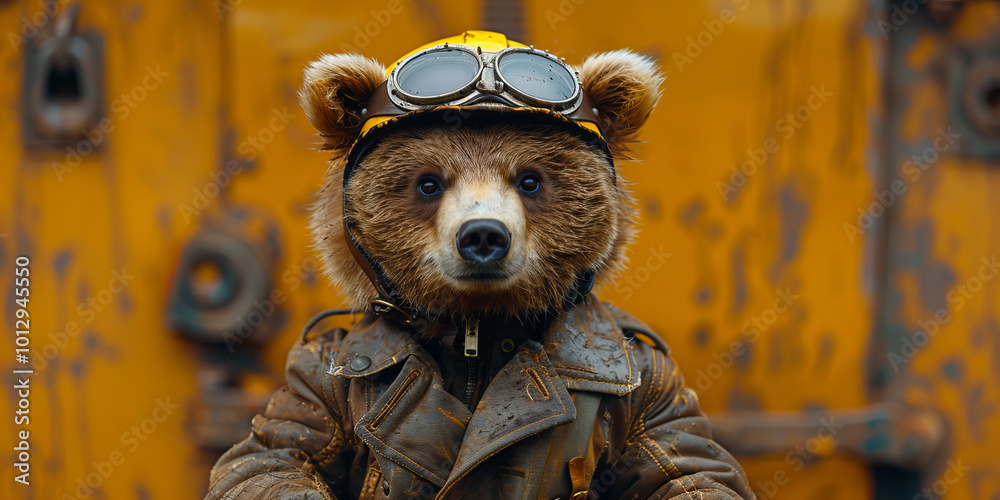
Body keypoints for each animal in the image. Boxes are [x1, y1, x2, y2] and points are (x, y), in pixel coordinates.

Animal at [206, 31, 754, 500]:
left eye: (530, 180)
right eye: (428, 183)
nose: (484, 235)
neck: (477, 326)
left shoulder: (650, 384)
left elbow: (685, 461)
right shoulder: (318, 377)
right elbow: (275, 450)